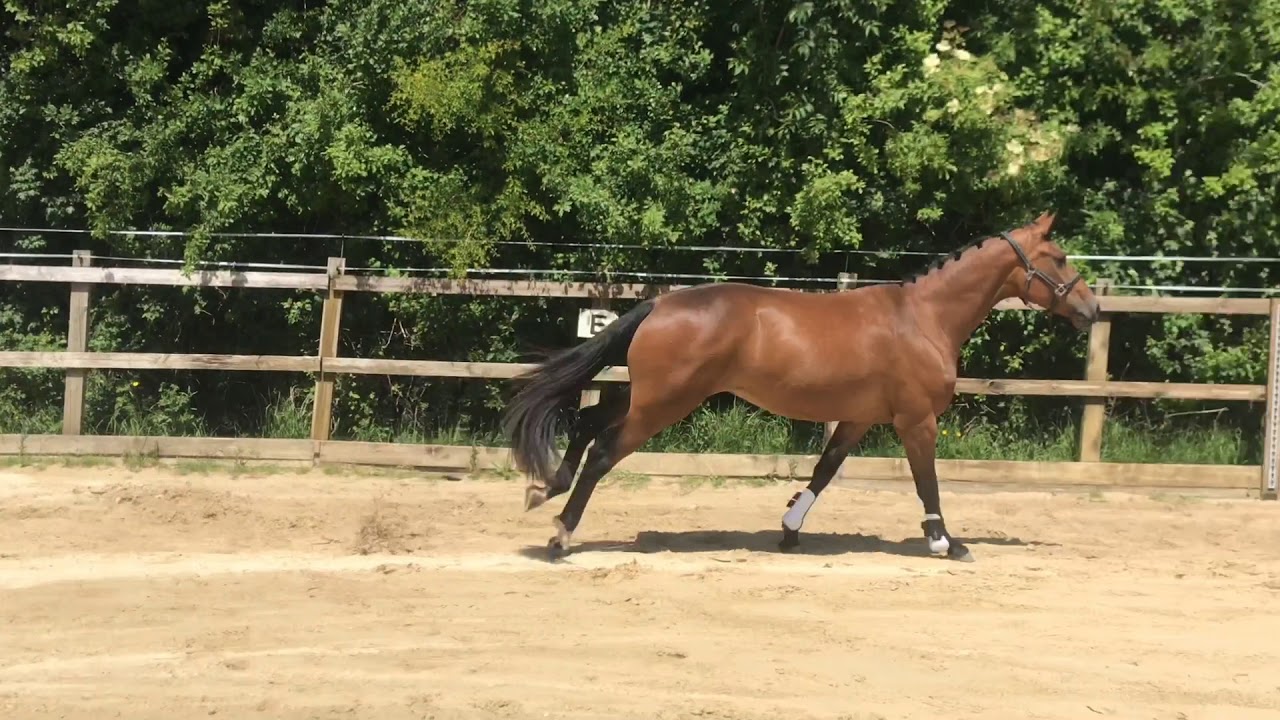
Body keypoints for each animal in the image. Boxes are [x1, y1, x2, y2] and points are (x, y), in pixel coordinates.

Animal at [501, 211, 1099, 562]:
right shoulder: (916, 420)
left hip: (649, 394)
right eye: (1059, 257)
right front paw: (946, 542)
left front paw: (789, 529)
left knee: (586, 423)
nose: (1092, 309)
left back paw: (544, 490)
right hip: (665, 403)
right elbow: (927, 482)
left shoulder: (859, 417)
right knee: (603, 450)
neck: (923, 318)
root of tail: (658, 305)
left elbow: (824, 471)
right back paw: (559, 536)